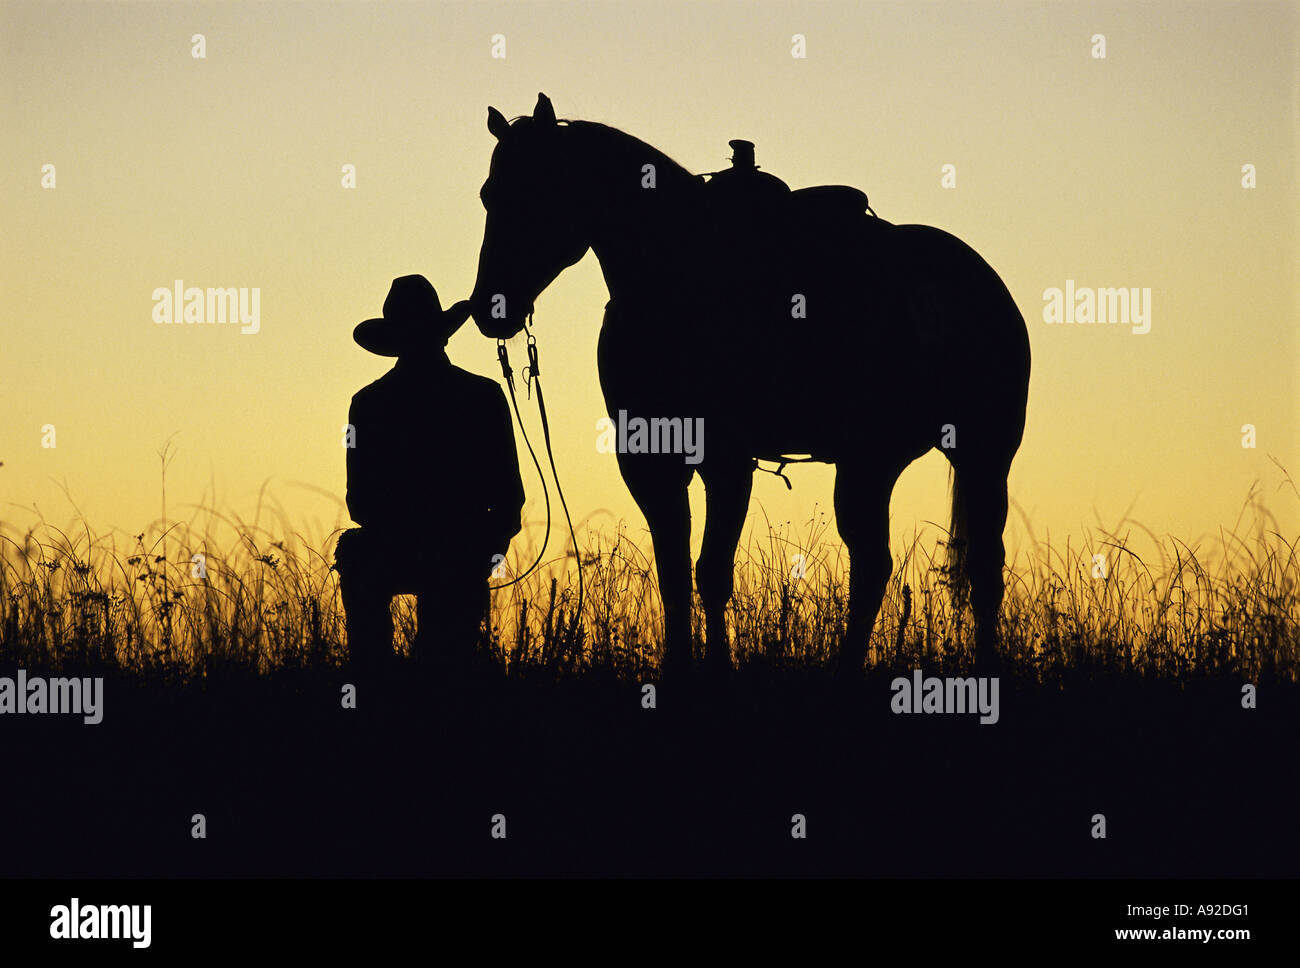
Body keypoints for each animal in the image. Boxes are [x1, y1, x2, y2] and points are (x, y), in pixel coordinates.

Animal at [469, 93, 1030, 676]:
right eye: (489, 194)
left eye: (539, 191)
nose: (491, 308)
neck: (680, 282)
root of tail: (983, 283)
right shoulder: (649, 460)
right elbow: (674, 574)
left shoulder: (726, 460)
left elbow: (712, 571)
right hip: (874, 462)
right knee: (879, 565)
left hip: (978, 456)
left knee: (973, 570)